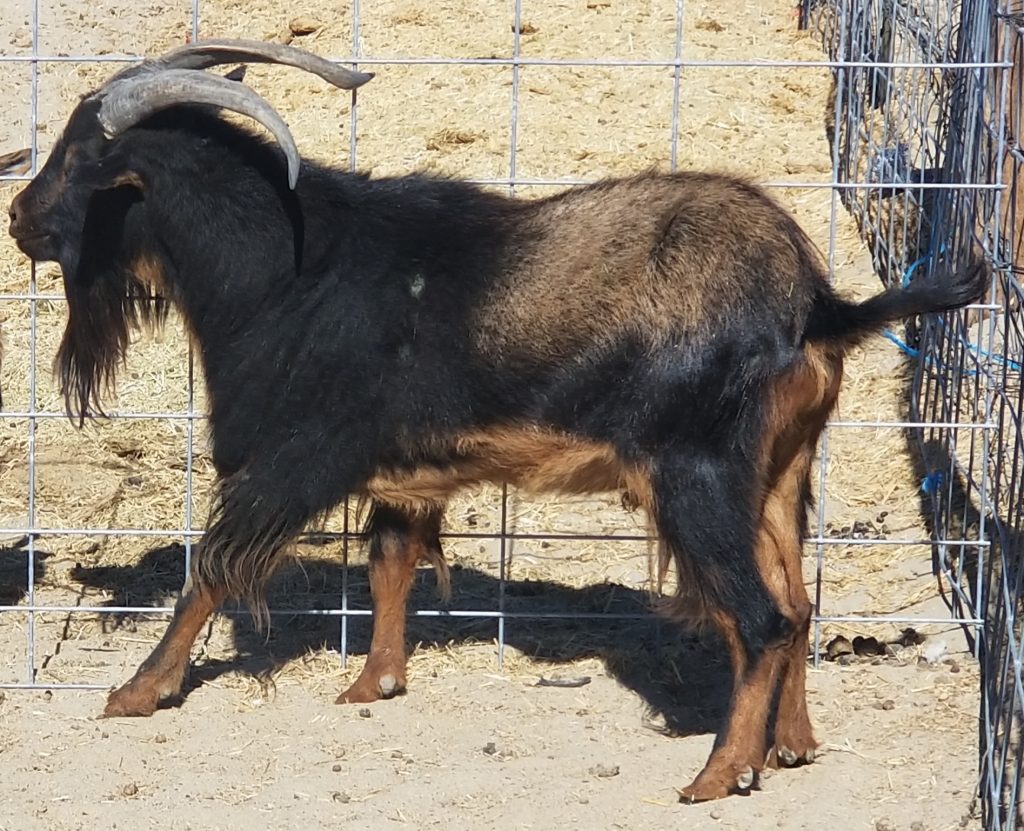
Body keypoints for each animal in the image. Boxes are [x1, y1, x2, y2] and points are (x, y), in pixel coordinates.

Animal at [6, 39, 988, 802]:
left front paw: (137, 692)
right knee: (797, 600)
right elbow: (390, 564)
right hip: (779, 474)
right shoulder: (403, 471)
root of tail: (815, 303)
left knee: (760, 617)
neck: (288, 267)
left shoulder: (294, 457)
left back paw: (717, 775)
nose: (19, 218)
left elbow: (208, 571)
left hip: (698, 476)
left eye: (83, 164)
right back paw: (791, 744)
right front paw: (372, 685)